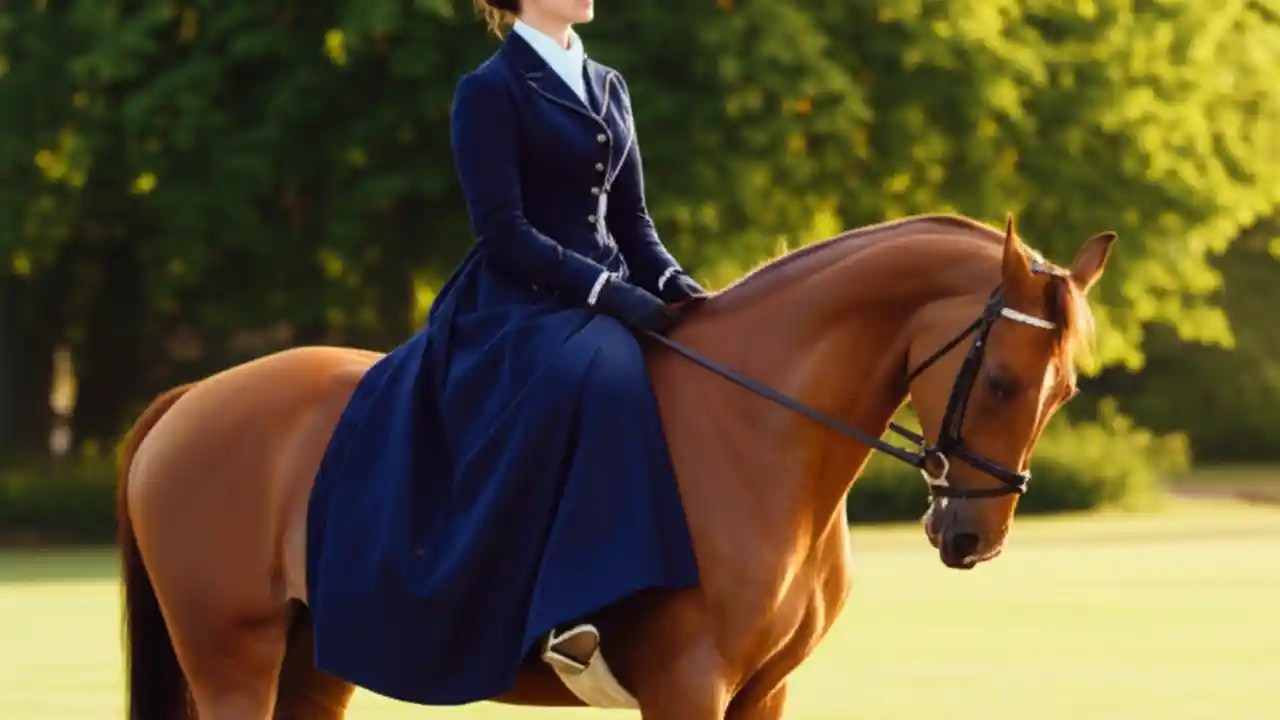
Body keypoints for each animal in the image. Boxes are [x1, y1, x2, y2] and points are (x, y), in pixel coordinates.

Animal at [116, 213, 1115, 719]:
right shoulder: (688, 691)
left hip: (314, 670)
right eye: (1000, 380)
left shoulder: (765, 694)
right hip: (233, 661)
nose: (974, 535)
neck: (754, 433)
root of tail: (190, 399)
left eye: (1064, 389)